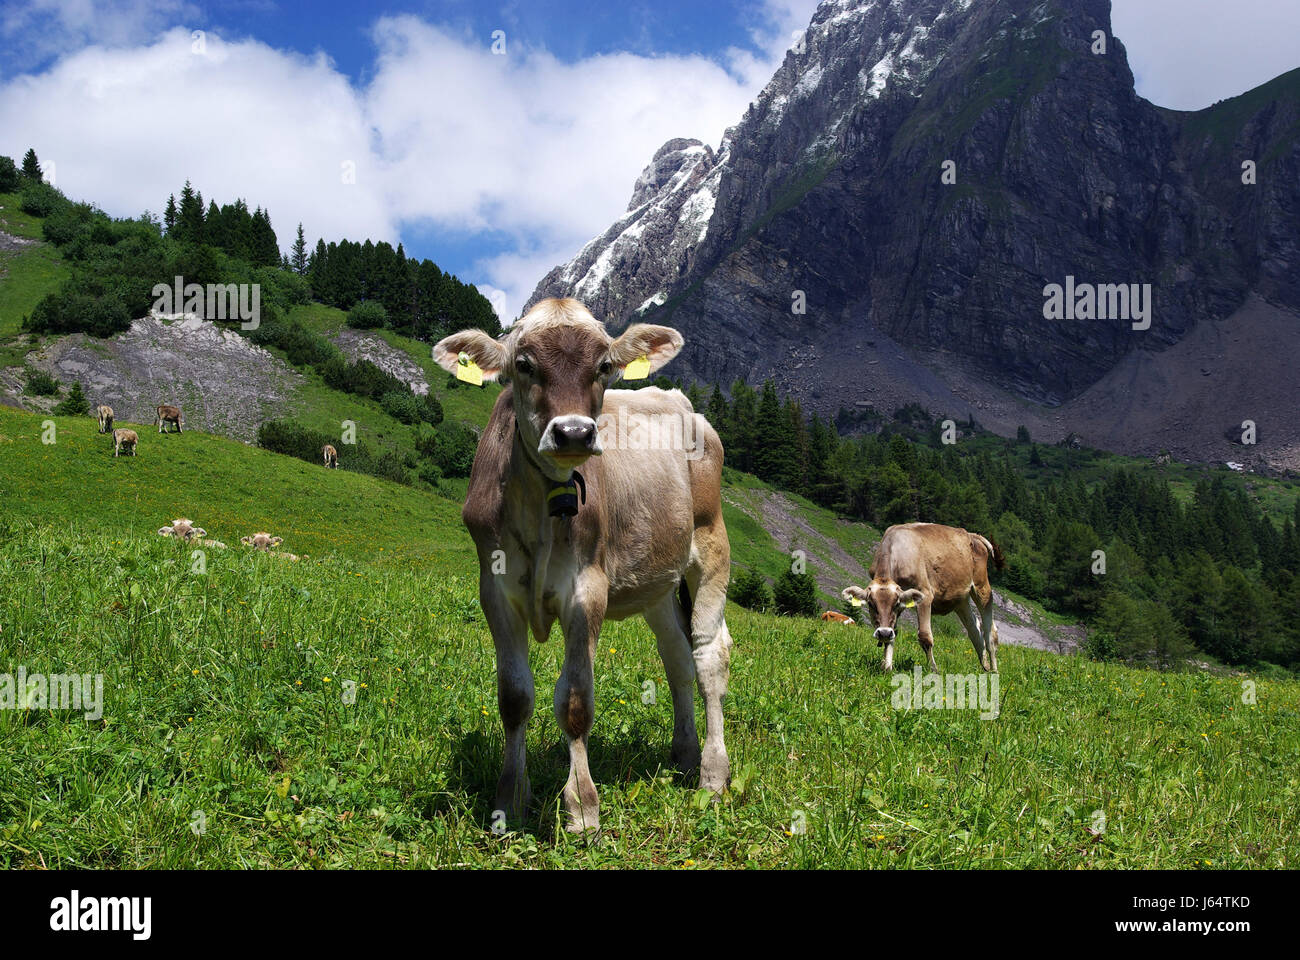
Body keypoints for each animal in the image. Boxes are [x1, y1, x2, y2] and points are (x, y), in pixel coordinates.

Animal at [432, 297, 732, 833]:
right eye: (523, 364)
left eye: (603, 366)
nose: (574, 431)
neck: (538, 507)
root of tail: (682, 401)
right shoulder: (495, 590)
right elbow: (514, 698)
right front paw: (510, 799)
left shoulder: (586, 590)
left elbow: (574, 702)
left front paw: (582, 807)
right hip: (659, 584)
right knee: (676, 658)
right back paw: (683, 754)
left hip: (710, 546)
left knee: (708, 656)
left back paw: (713, 776)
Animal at [842, 522, 1005, 674]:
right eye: (871, 604)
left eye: (895, 603)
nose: (883, 633)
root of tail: (974, 535)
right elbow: (892, 633)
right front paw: (887, 667)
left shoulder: (924, 594)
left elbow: (925, 637)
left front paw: (933, 669)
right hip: (960, 599)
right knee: (973, 628)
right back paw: (985, 666)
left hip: (981, 587)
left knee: (990, 632)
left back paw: (994, 670)